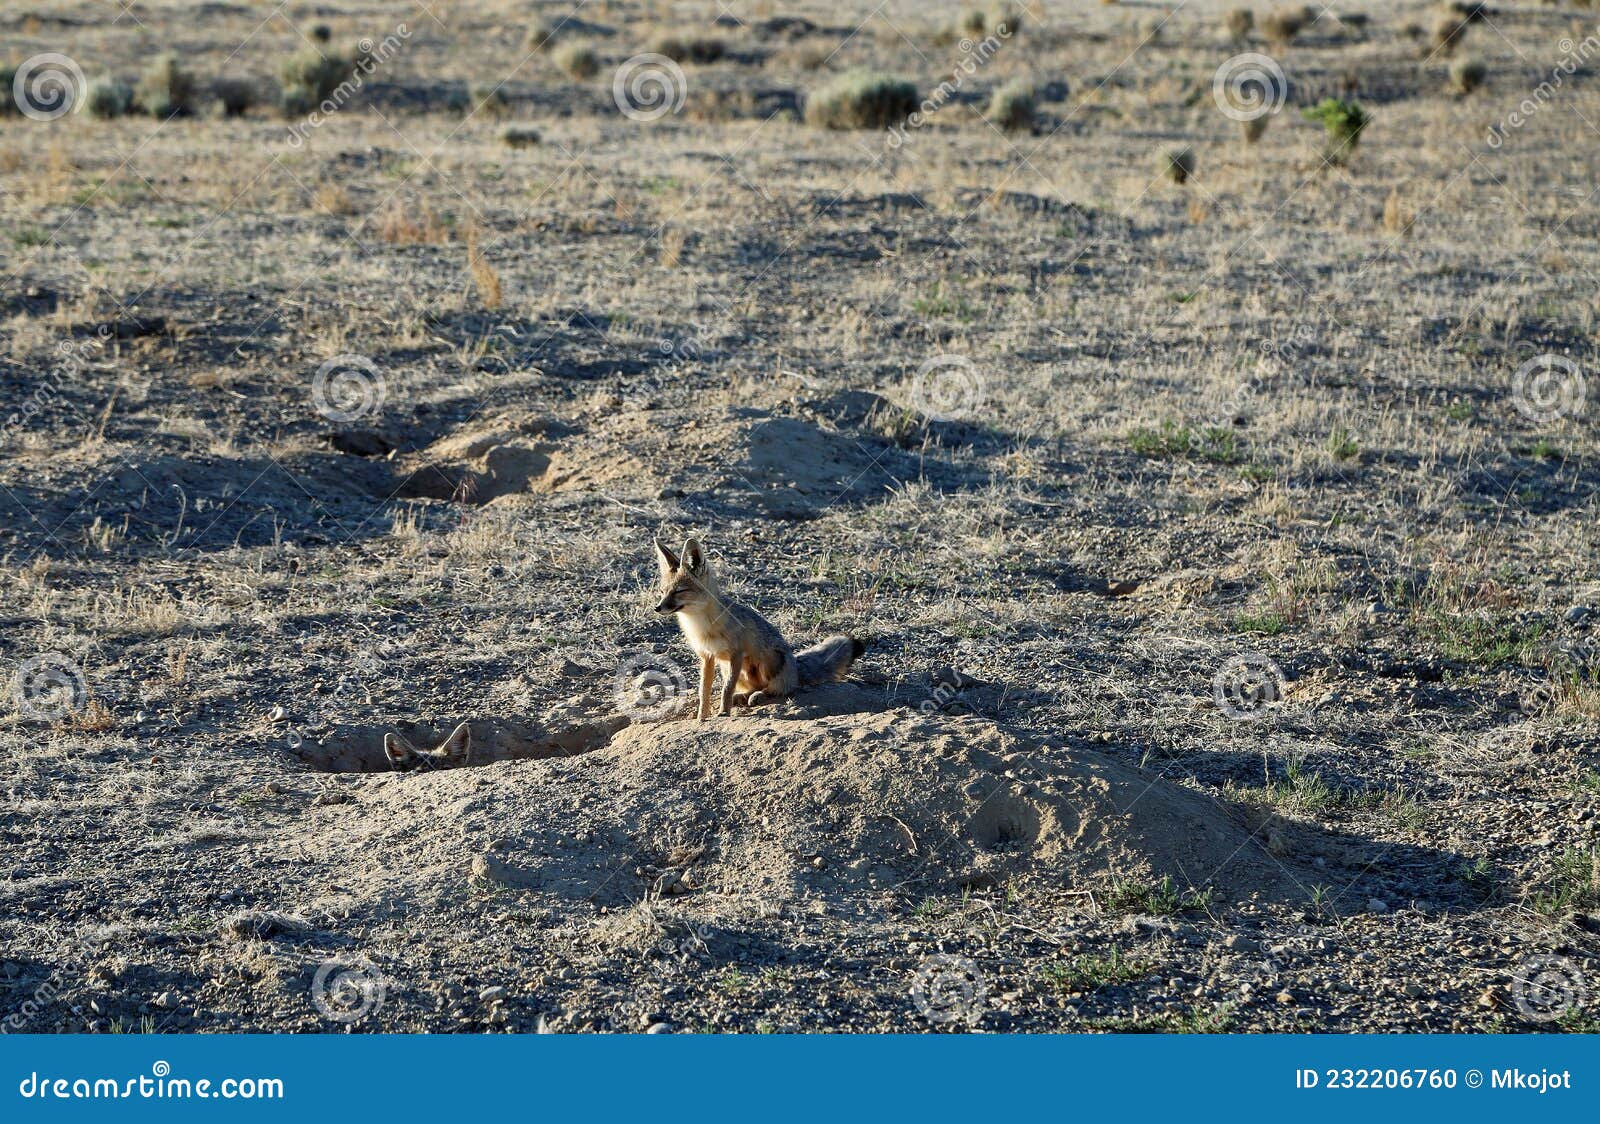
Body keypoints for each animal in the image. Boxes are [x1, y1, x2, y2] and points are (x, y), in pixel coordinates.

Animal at [654, 536, 864, 721]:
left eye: (679, 591)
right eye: (662, 592)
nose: (658, 607)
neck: (702, 626)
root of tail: (796, 667)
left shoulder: (736, 653)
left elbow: (726, 688)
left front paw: (723, 712)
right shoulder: (707, 657)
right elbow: (703, 691)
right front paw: (702, 716)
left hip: (765, 659)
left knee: (777, 688)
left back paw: (760, 695)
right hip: (729, 667)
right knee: (752, 688)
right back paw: (743, 697)